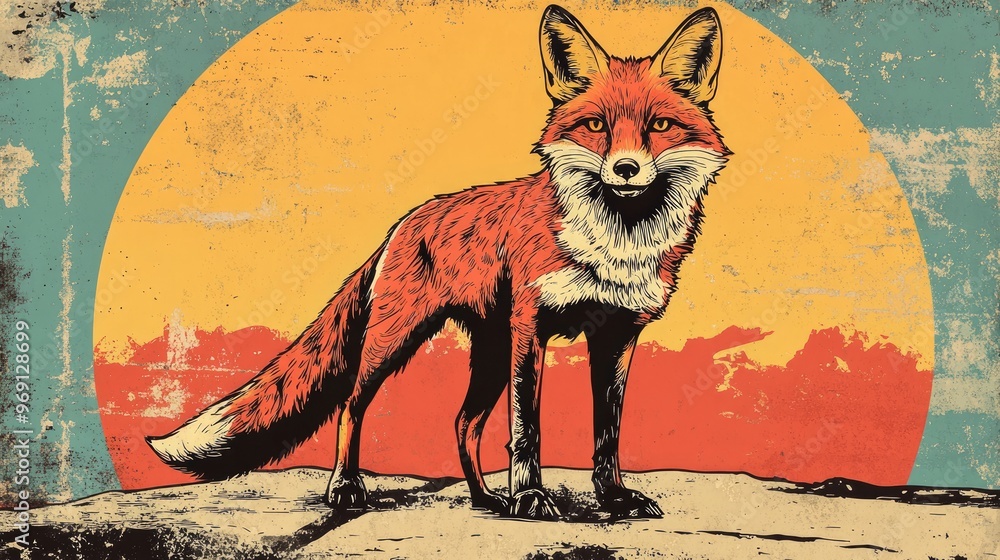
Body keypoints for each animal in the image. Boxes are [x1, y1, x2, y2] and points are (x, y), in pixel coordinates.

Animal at [147, 5, 729, 521]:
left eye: (659, 125)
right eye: (595, 126)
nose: (626, 168)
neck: (615, 245)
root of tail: (404, 221)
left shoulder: (617, 334)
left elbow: (606, 436)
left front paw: (614, 499)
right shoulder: (531, 326)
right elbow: (527, 430)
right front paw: (530, 498)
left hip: (490, 352)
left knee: (462, 423)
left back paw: (485, 498)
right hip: (396, 340)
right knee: (352, 405)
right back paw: (346, 487)